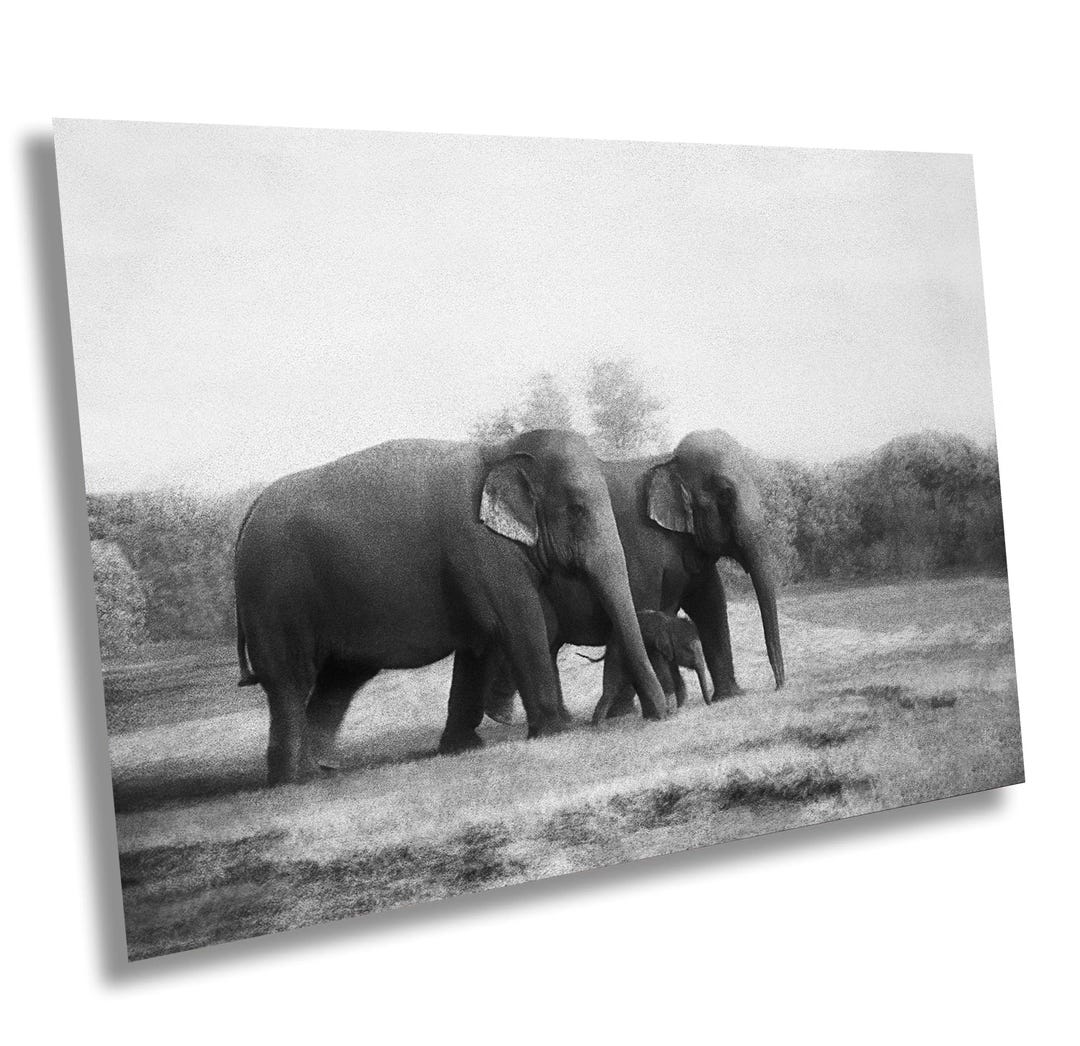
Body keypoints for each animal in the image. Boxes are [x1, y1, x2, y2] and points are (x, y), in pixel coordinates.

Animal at [234, 429, 670, 784]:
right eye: (577, 509)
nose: (660, 716)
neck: (501, 452)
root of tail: (249, 512)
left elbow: (479, 646)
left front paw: (463, 748)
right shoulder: (484, 551)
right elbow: (522, 626)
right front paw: (560, 730)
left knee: (339, 680)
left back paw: (322, 771)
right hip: (275, 599)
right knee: (290, 681)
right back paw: (293, 780)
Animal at [481, 429, 785, 725]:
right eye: (725, 493)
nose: (779, 686)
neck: (667, 461)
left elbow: (711, 603)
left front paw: (731, 696)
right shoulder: (639, 547)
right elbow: (645, 607)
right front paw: (630, 712)